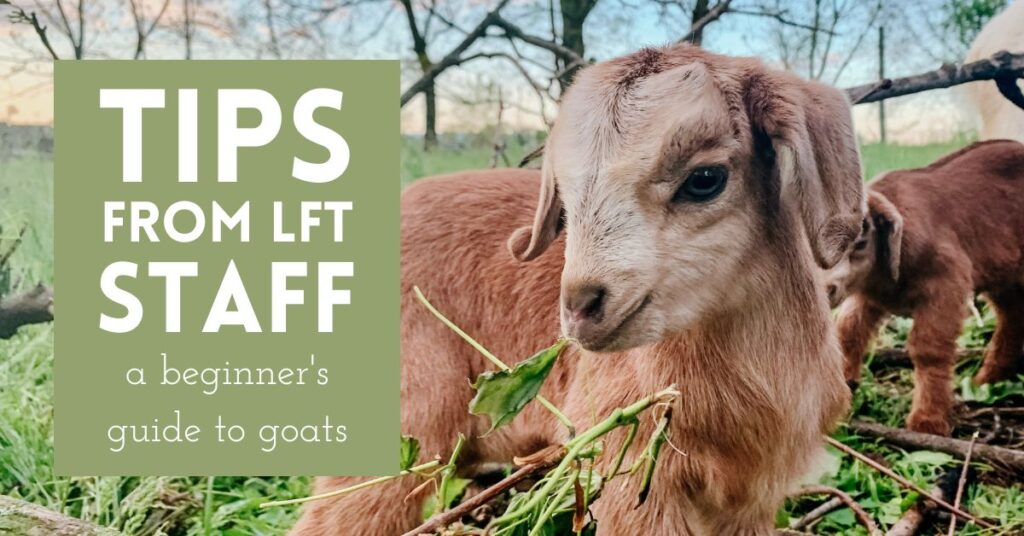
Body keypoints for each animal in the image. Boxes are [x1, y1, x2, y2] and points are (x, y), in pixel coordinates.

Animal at [826, 139, 1024, 436]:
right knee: (1012, 315)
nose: (825, 288)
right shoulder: (870, 296)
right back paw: (988, 379)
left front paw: (928, 421)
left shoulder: (948, 282)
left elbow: (928, 348)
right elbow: (848, 331)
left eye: (861, 241)